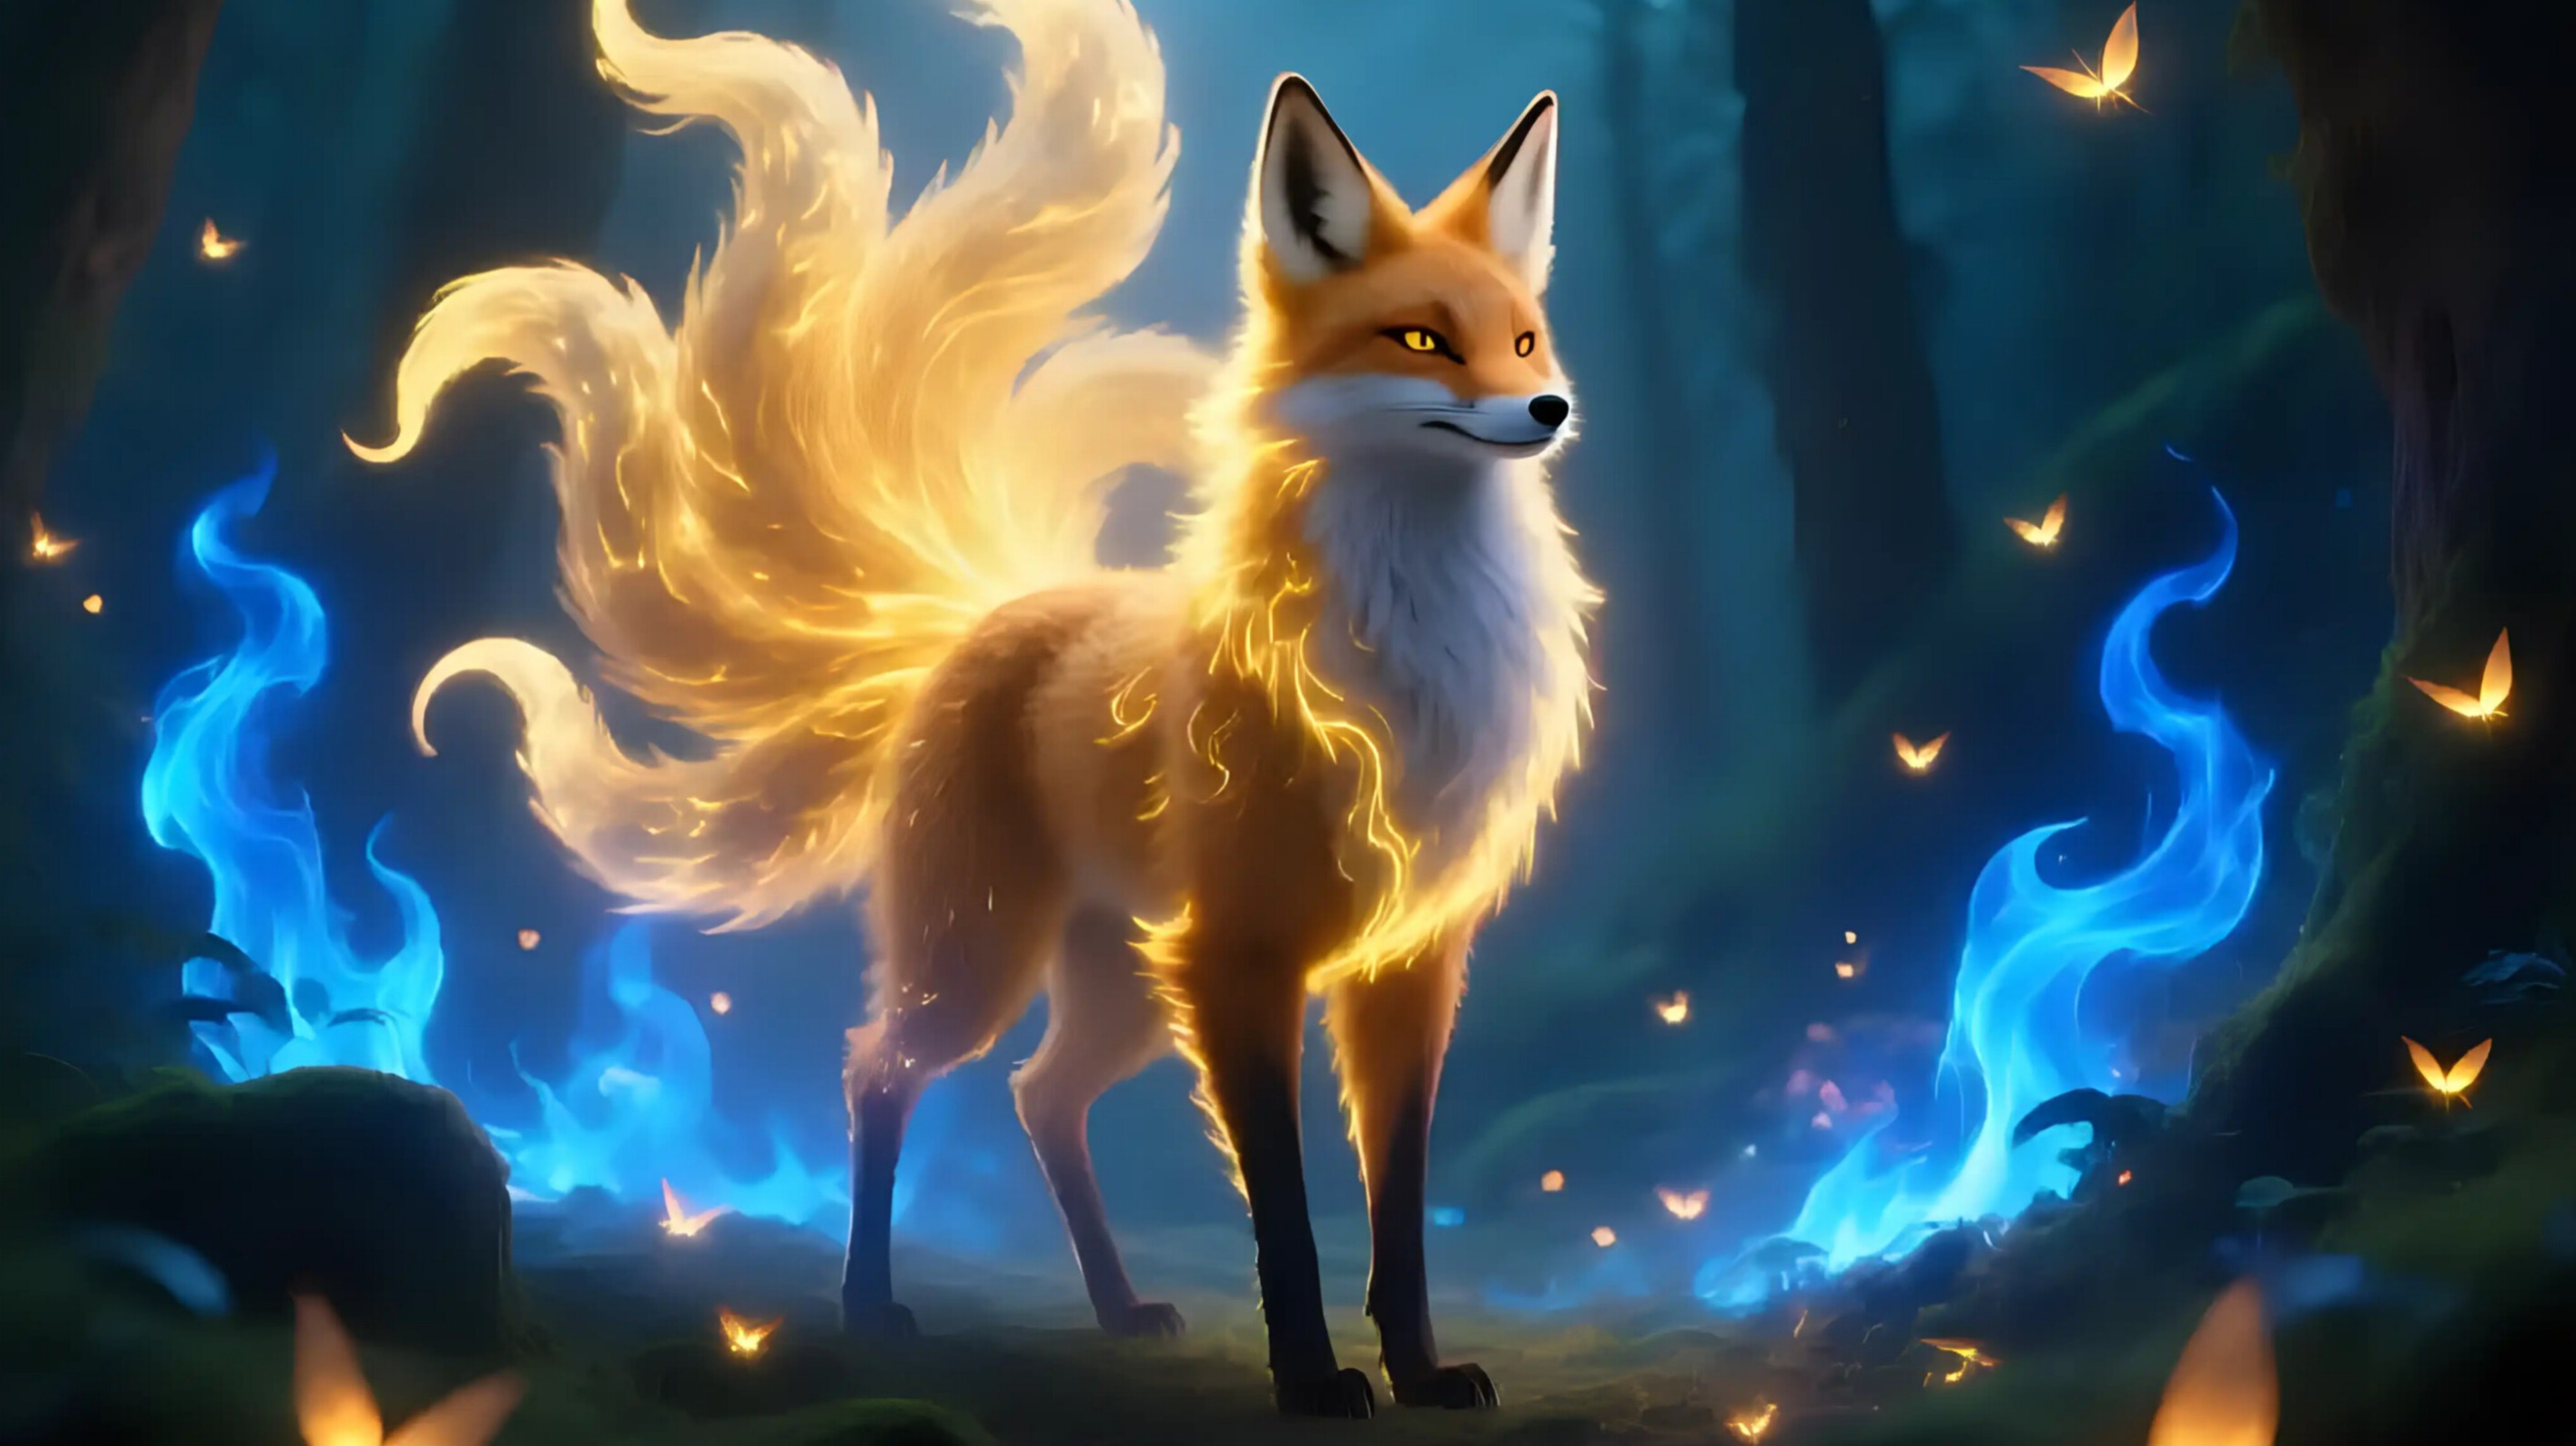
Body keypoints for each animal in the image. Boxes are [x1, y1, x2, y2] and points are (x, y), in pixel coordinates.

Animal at [354, 0, 1596, 1419]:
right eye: (1423, 341)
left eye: (1525, 338)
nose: (1550, 408)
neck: (1409, 664)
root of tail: (987, 607)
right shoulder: (1241, 956)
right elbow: (1283, 1211)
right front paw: (1307, 1374)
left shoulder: (1408, 963)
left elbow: (1397, 1204)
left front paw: (1420, 1368)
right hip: (989, 957)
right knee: (879, 1069)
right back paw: (868, 1303)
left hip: (1120, 984)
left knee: (1040, 1097)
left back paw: (1114, 1305)